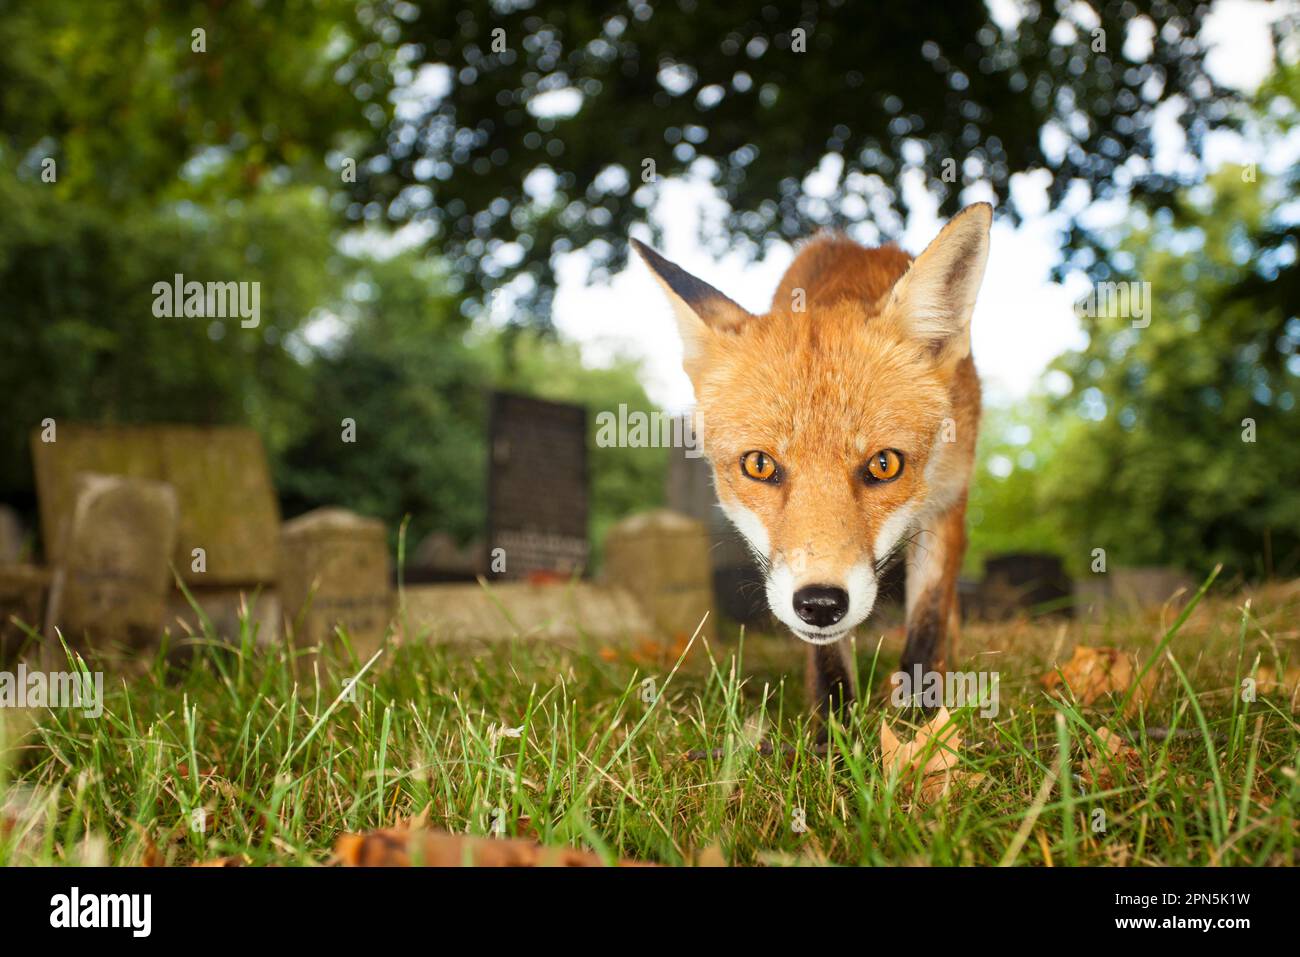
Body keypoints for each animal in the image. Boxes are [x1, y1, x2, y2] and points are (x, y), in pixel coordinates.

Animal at [632, 202, 992, 726]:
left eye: (885, 464)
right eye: (760, 465)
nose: (820, 605)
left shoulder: (945, 503)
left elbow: (926, 627)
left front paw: (920, 726)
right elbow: (827, 659)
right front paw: (833, 733)